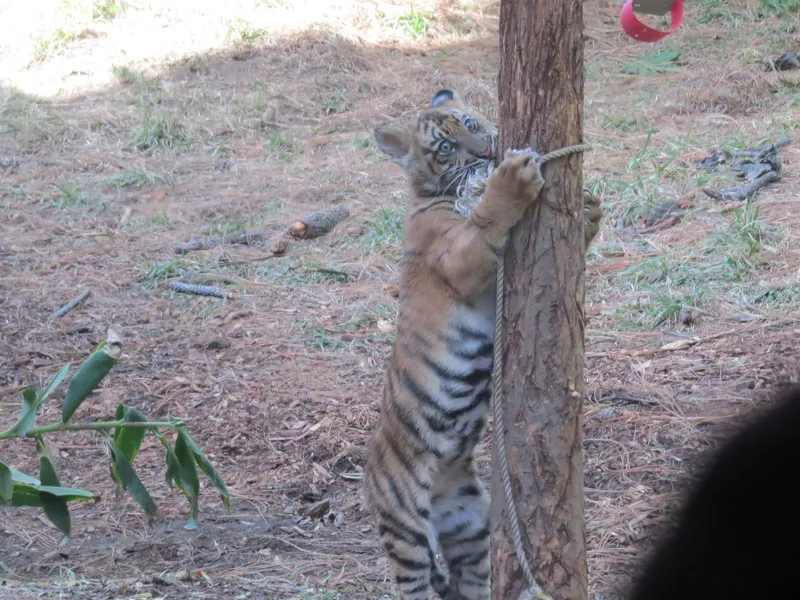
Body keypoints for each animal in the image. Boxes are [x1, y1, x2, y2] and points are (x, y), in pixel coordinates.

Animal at [364, 88, 603, 600]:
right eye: (445, 148)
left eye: (470, 123)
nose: (487, 150)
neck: (432, 196)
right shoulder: (461, 257)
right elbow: (485, 220)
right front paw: (510, 180)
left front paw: (589, 209)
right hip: (406, 532)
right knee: (415, 584)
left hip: (470, 523)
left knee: (468, 580)